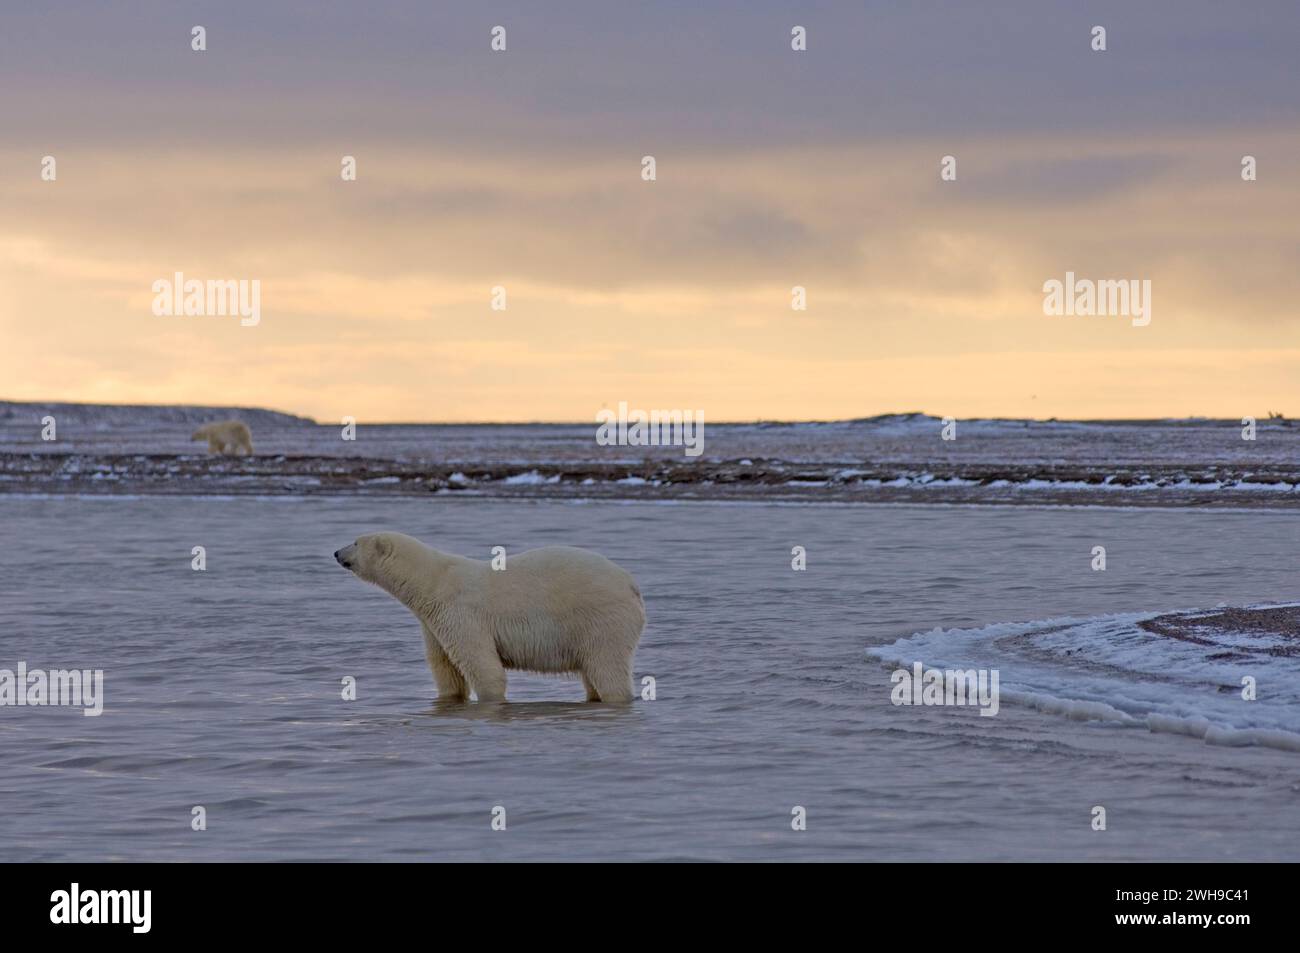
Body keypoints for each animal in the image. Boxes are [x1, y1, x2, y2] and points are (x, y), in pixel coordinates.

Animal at [334, 532, 644, 703]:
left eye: (355, 542)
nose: (337, 552)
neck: (433, 582)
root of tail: (631, 583)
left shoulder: (461, 612)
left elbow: (481, 664)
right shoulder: (433, 622)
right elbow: (445, 668)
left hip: (601, 621)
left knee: (608, 669)